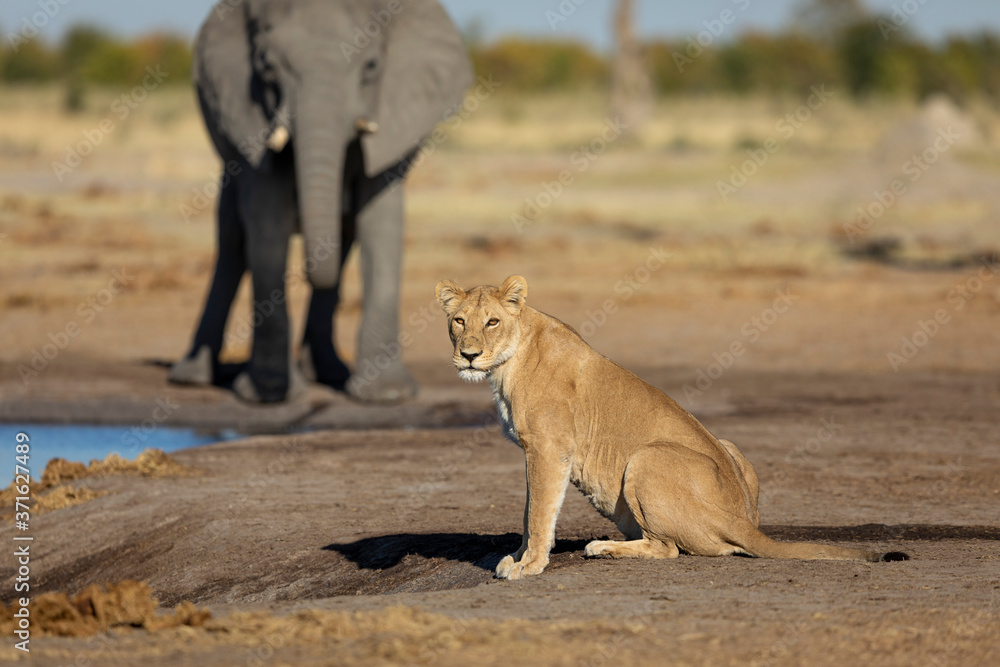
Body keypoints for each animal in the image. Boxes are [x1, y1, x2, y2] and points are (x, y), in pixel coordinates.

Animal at [435, 275, 909, 580]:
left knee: (668, 548)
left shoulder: (550, 448)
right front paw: (514, 557)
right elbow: (529, 509)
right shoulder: (538, 452)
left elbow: (538, 512)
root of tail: (742, 519)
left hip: (647, 457)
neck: (506, 364)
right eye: (458, 321)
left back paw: (602, 548)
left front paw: (528, 566)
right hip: (728, 447)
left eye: (492, 321)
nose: (469, 355)